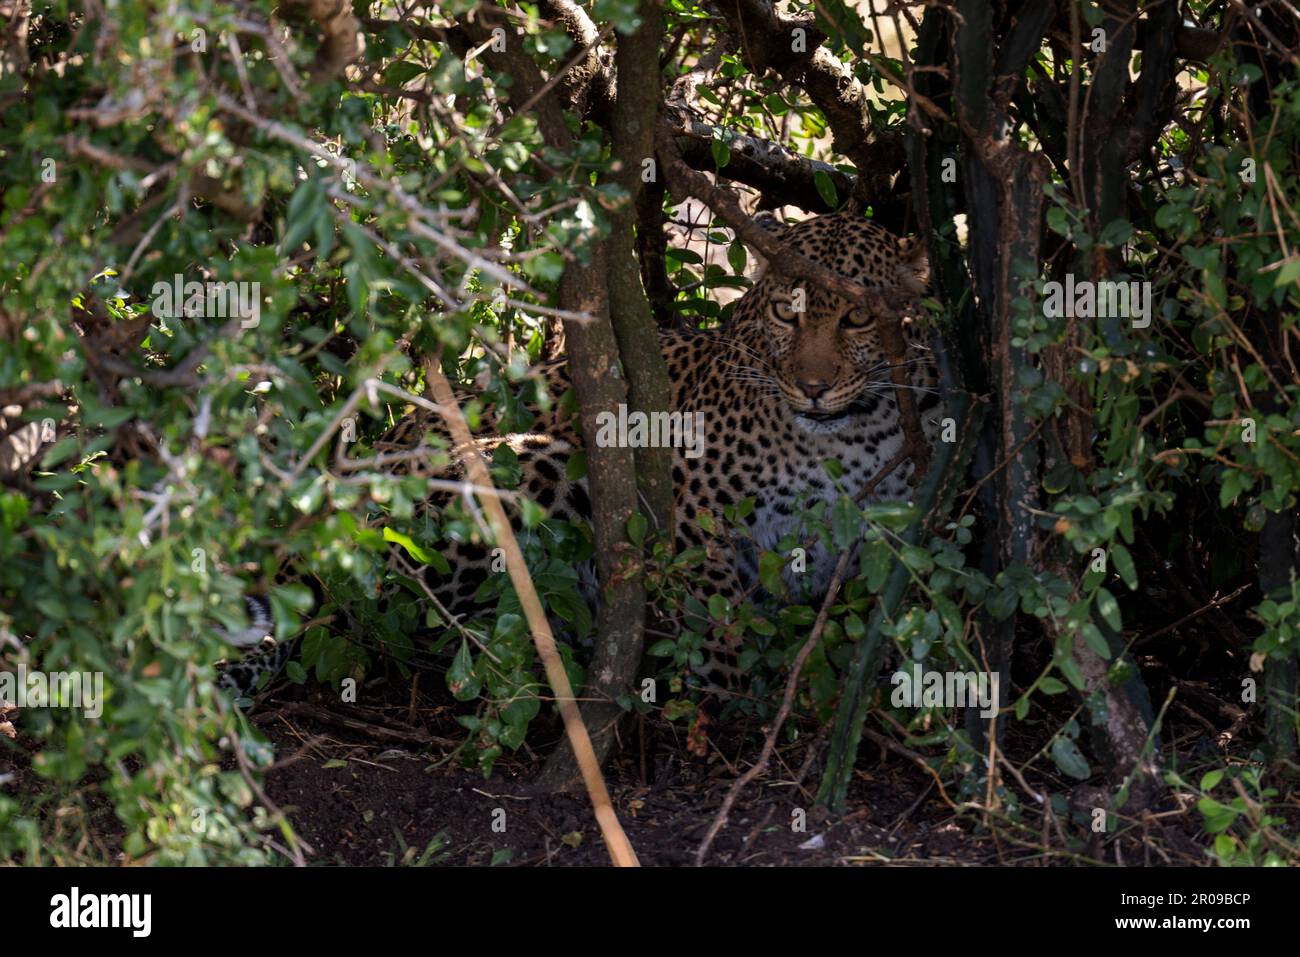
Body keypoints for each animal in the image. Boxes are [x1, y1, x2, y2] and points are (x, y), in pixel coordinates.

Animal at [217, 211, 940, 697]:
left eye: (857, 317)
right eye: (788, 314)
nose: (811, 385)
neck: (846, 438)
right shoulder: (689, 508)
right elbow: (715, 617)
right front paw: (723, 691)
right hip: (529, 462)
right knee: (410, 621)